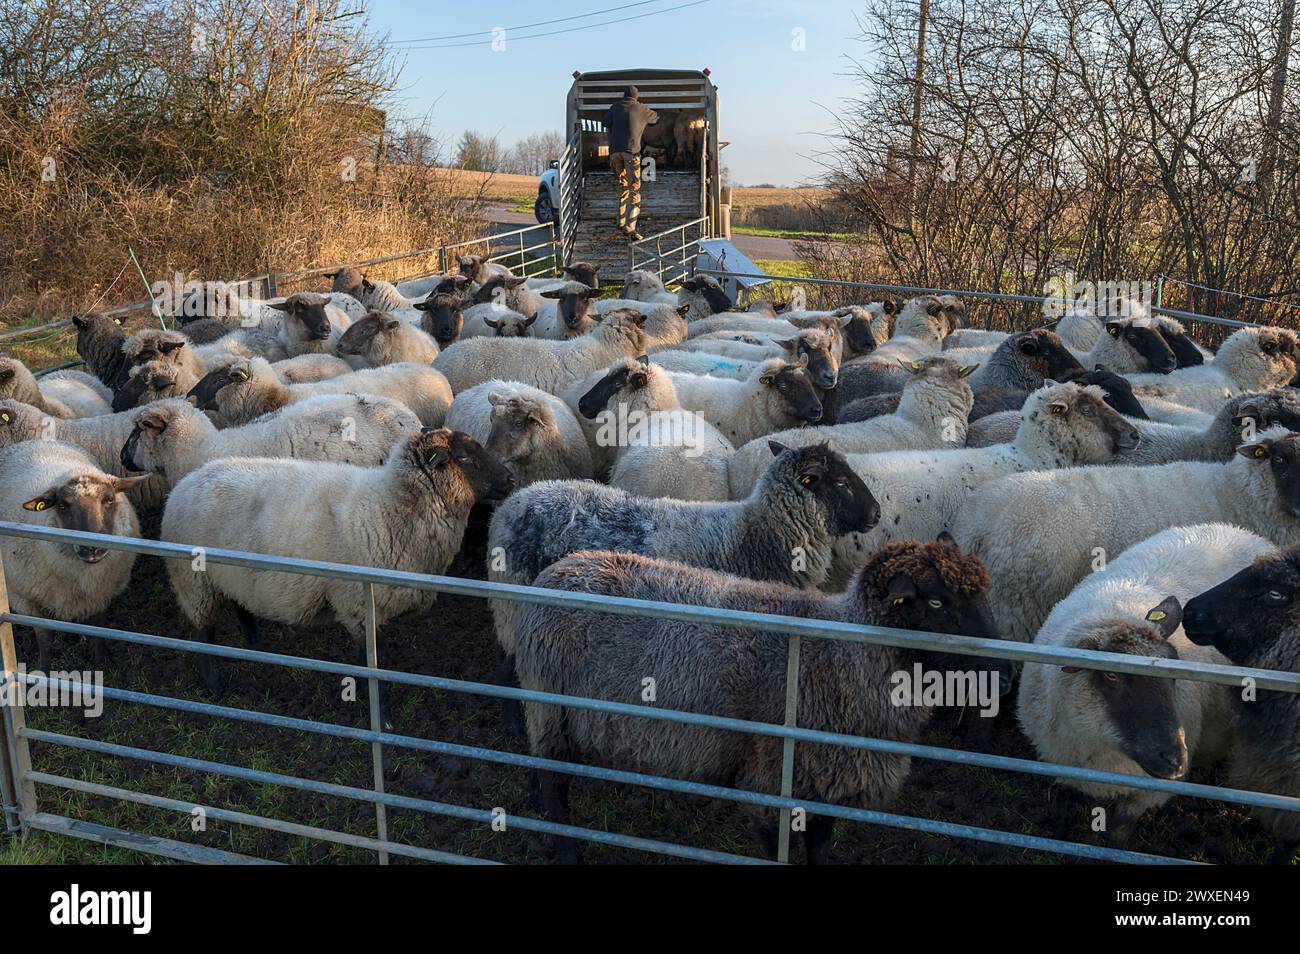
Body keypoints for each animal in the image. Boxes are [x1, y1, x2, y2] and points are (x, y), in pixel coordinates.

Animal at [0, 440, 148, 670]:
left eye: (109, 500)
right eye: (62, 505)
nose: (92, 548)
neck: (84, 576)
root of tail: (32, 441)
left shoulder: (103, 591)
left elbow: (99, 629)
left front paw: (99, 664)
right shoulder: (24, 598)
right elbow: (44, 637)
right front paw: (44, 671)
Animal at [161, 429, 515, 720]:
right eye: (464, 457)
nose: (511, 479)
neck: (389, 507)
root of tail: (184, 484)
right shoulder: (359, 604)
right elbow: (372, 661)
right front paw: (381, 714)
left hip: (233, 575)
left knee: (240, 605)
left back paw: (256, 647)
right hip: (195, 582)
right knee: (204, 631)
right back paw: (214, 685)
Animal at [513, 537, 997, 862]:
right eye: (936, 602)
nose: (1005, 670)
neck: (837, 658)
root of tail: (561, 567)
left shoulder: (829, 779)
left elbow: (820, 848)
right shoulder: (769, 781)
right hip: (549, 707)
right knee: (554, 782)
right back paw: (567, 850)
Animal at [1020, 524, 1267, 842]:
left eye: (1174, 670)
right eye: (1111, 675)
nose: (1176, 761)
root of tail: (1240, 531)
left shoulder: (1146, 793)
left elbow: (1118, 833)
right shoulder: (1062, 763)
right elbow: (1061, 810)